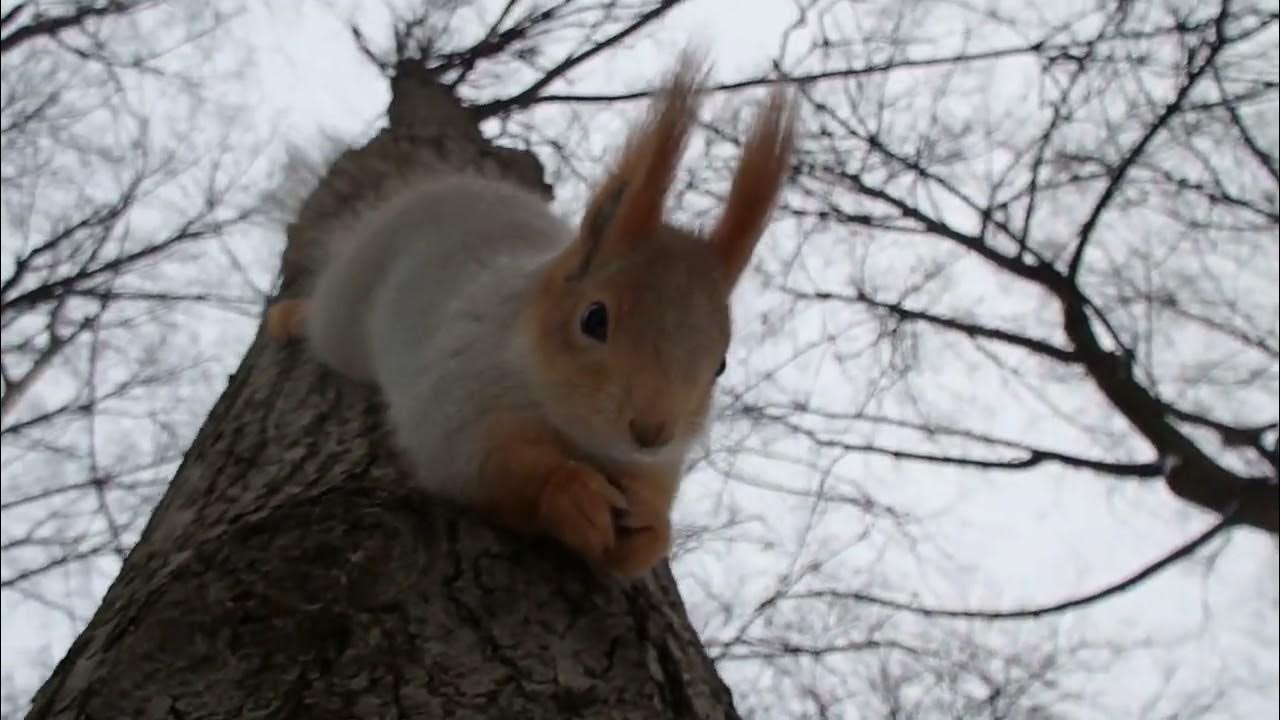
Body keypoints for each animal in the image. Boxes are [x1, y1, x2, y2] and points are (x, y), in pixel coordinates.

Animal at [264, 54, 793, 576]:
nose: (651, 432)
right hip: (346, 311)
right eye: (594, 319)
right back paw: (292, 315)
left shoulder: (659, 462)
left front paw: (651, 525)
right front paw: (570, 492)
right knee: (323, 322)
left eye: (721, 363)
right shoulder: (453, 393)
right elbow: (485, 461)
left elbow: (654, 495)